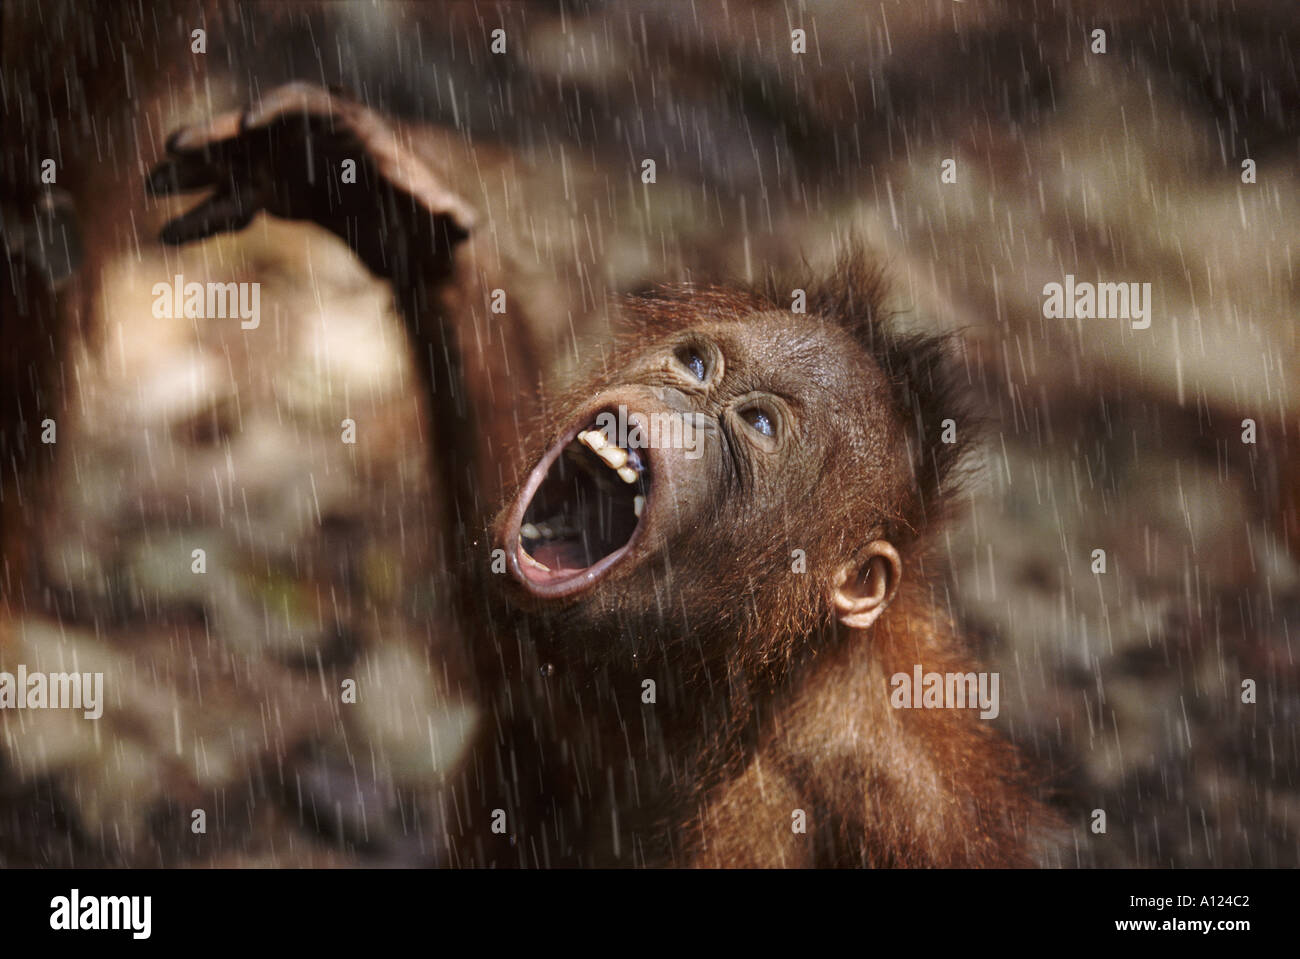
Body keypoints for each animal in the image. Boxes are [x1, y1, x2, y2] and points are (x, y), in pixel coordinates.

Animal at [142, 81, 1056, 867]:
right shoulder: (541, 660)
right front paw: (383, 208)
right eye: (696, 363)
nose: (680, 397)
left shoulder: (896, 802)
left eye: (757, 423)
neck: (703, 704)